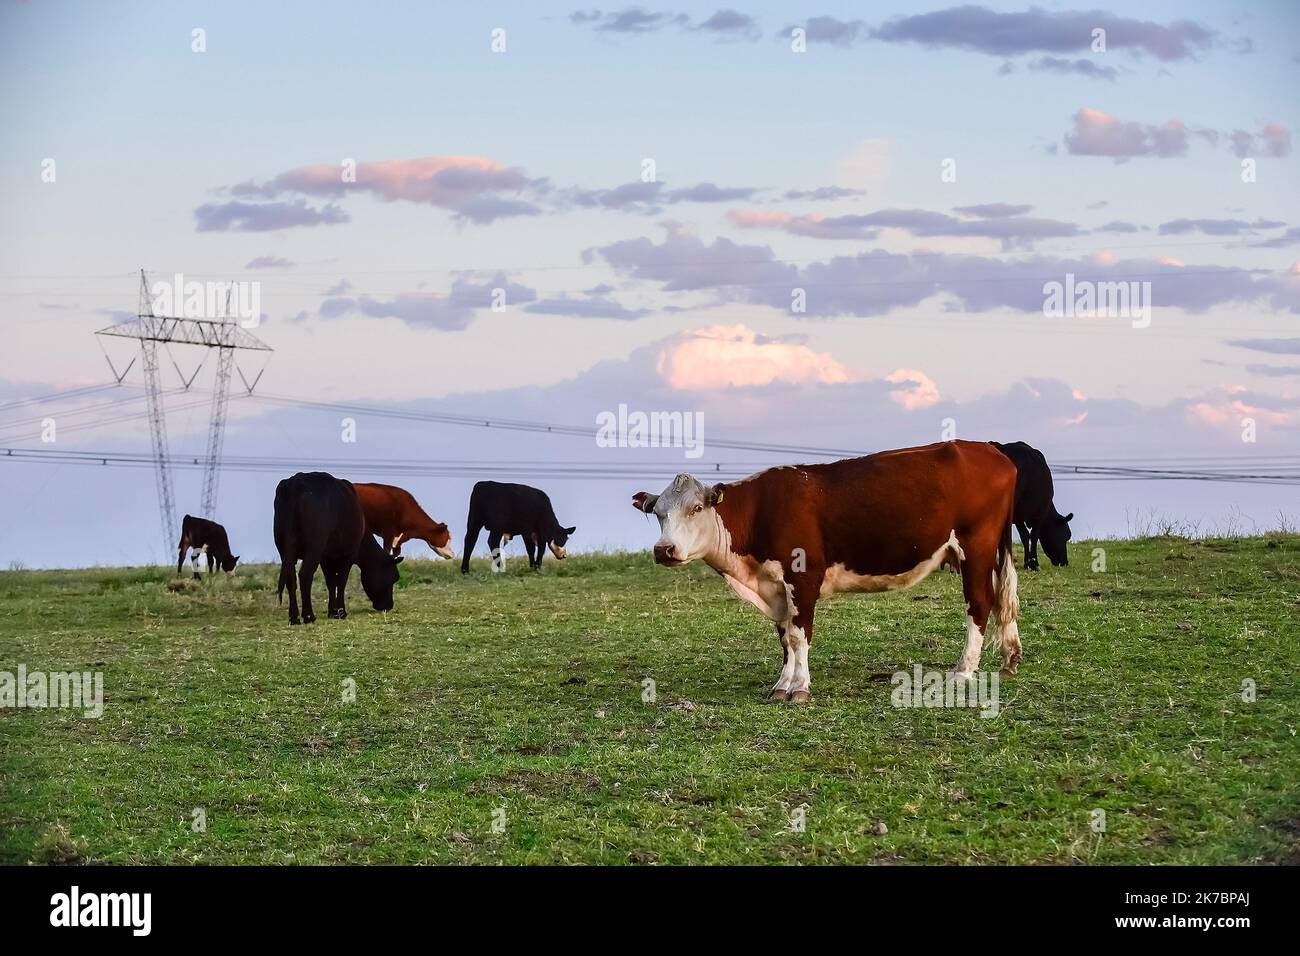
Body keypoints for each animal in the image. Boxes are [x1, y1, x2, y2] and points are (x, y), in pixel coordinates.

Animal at [273, 472, 402, 625]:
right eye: (393, 578)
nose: (389, 605)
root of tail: (296, 483)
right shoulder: (348, 555)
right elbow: (341, 581)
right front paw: (341, 612)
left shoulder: (326, 557)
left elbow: (330, 582)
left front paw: (332, 611)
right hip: (314, 547)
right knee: (305, 575)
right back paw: (309, 616)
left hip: (284, 549)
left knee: (290, 578)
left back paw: (294, 618)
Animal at [631, 441, 1022, 703]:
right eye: (659, 513)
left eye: (696, 508)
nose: (664, 550)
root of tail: (989, 448)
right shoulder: (777, 587)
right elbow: (785, 638)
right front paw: (782, 685)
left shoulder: (803, 576)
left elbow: (799, 635)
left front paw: (800, 688)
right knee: (1002, 602)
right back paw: (1010, 658)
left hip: (976, 547)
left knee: (980, 603)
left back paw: (964, 670)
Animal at [990, 441, 1073, 570]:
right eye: (1066, 536)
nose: (1064, 562)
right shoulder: (1039, 513)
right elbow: (1033, 535)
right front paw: (1034, 563)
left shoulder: (1018, 515)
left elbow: (1024, 536)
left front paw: (1026, 563)